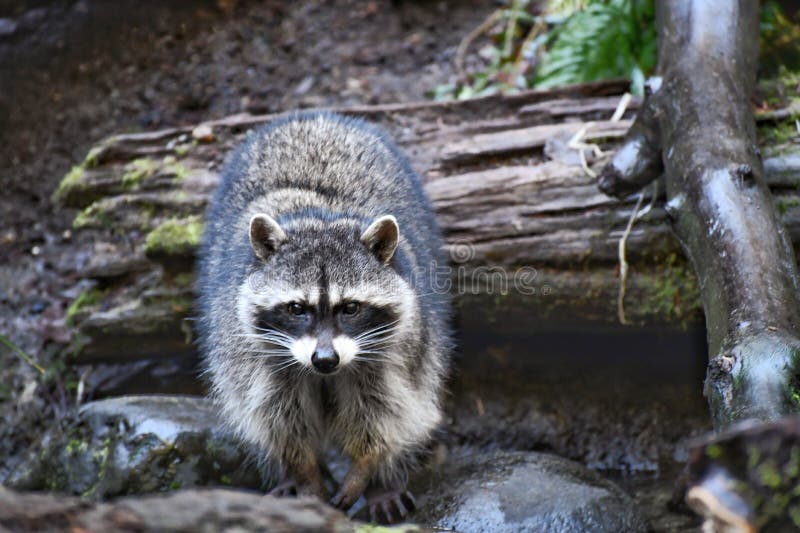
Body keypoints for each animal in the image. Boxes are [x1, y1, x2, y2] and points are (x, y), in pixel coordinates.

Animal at [197, 112, 450, 523]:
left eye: (350, 308)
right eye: (296, 309)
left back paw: (384, 483)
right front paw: (304, 476)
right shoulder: (253, 353)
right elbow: (279, 419)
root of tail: (310, 115)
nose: (325, 360)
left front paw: (367, 469)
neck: (321, 217)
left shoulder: (395, 347)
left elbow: (385, 412)